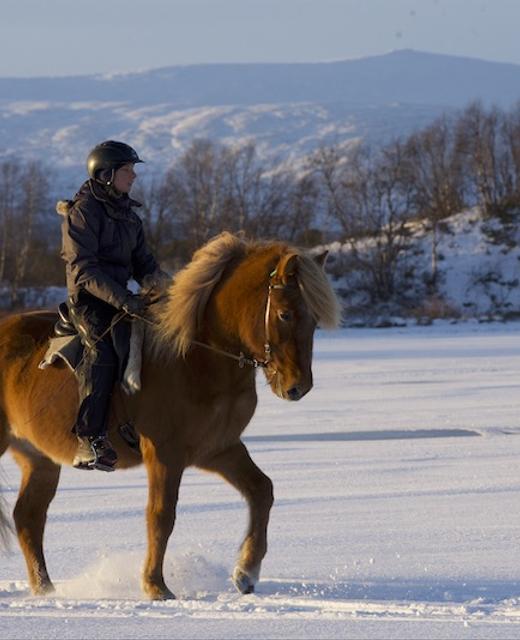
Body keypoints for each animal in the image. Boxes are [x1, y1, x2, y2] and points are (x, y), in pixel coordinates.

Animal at [0, 231, 341, 600]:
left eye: (314, 320)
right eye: (284, 314)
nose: (298, 387)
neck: (195, 357)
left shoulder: (218, 448)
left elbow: (261, 490)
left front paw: (246, 573)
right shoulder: (165, 453)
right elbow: (161, 515)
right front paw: (156, 586)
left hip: (39, 459)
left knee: (28, 517)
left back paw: (46, 590)